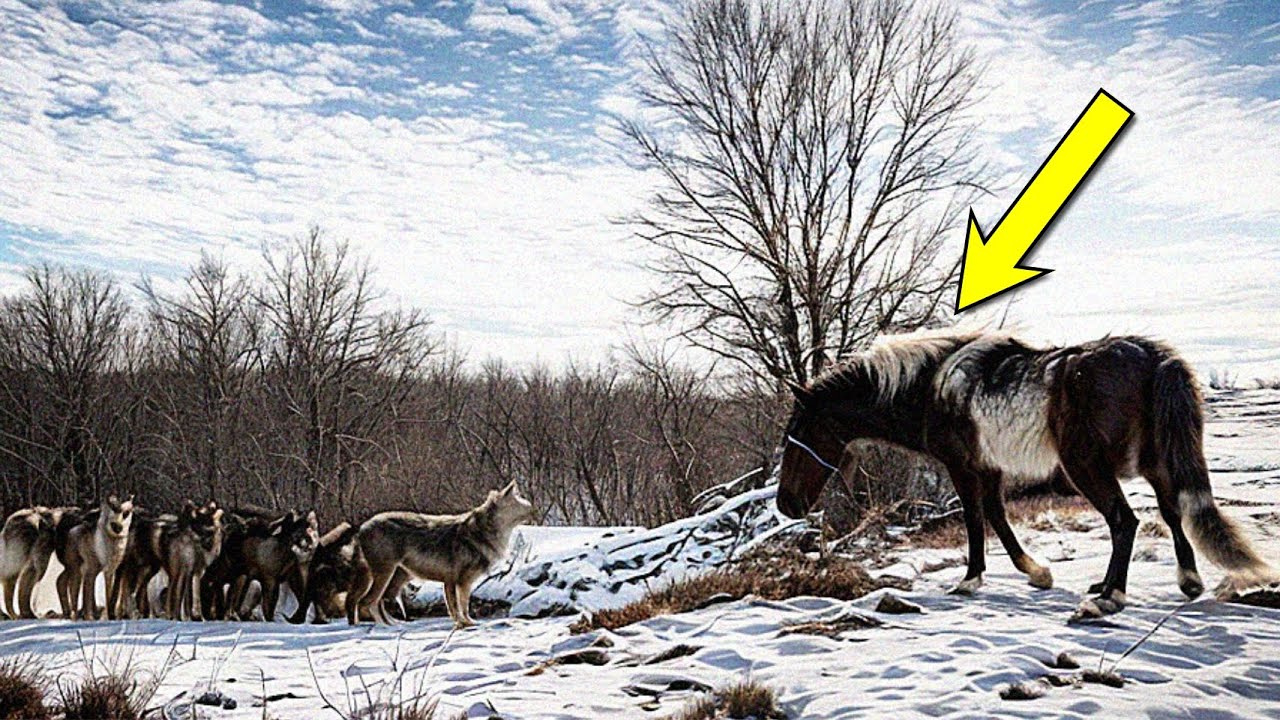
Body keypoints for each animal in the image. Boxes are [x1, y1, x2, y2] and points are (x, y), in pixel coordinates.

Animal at [346, 481, 536, 627]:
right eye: (522, 504)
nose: (534, 509)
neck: (484, 532)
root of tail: (361, 528)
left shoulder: (450, 582)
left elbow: (455, 609)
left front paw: (462, 624)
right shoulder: (462, 582)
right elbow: (463, 607)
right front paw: (469, 624)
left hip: (396, 577)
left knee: (374, 602)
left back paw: (392, 624)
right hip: (386, 574)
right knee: (367, 602)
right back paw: (383, 628)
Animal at [776, 330, 1275, 618]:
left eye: (798, 433)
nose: (786, 505)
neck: (929, 387)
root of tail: (1154, 360)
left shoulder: (963, 467)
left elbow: (976, 520)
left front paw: (971, 579)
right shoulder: (990, 467)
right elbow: (997, 518)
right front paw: (1036, 572)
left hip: (1087, 468)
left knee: (1124, 521)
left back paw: (1108, 597)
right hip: (1153, 463)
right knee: (1171, 513)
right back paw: (1182, 581)